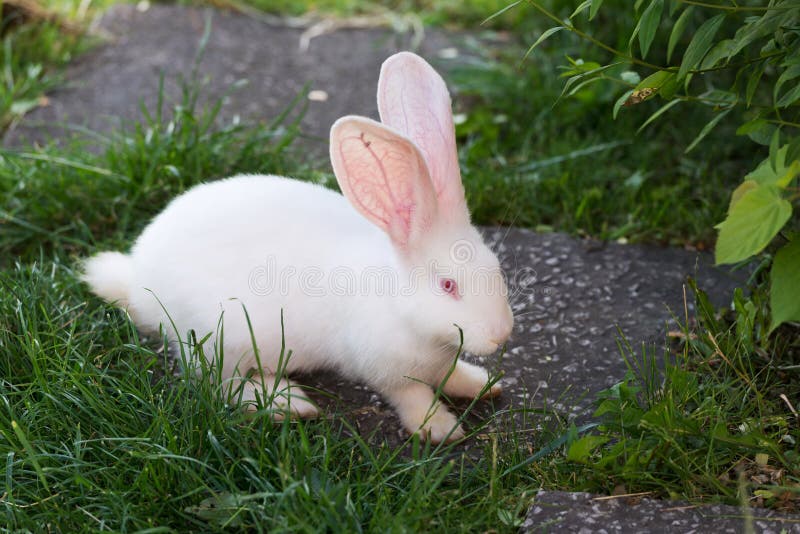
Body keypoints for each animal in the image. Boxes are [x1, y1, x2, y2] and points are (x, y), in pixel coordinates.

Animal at [82, 51, 514, 444]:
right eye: (447, 286)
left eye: (497, 267)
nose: (501, 335)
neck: (400, 305)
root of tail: (140, 284)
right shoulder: (384, 369)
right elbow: (412, 396)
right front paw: (440, 429)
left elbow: (450, 375)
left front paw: (483, 384)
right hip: (222, 337)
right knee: (217, 382)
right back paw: (288, 403)